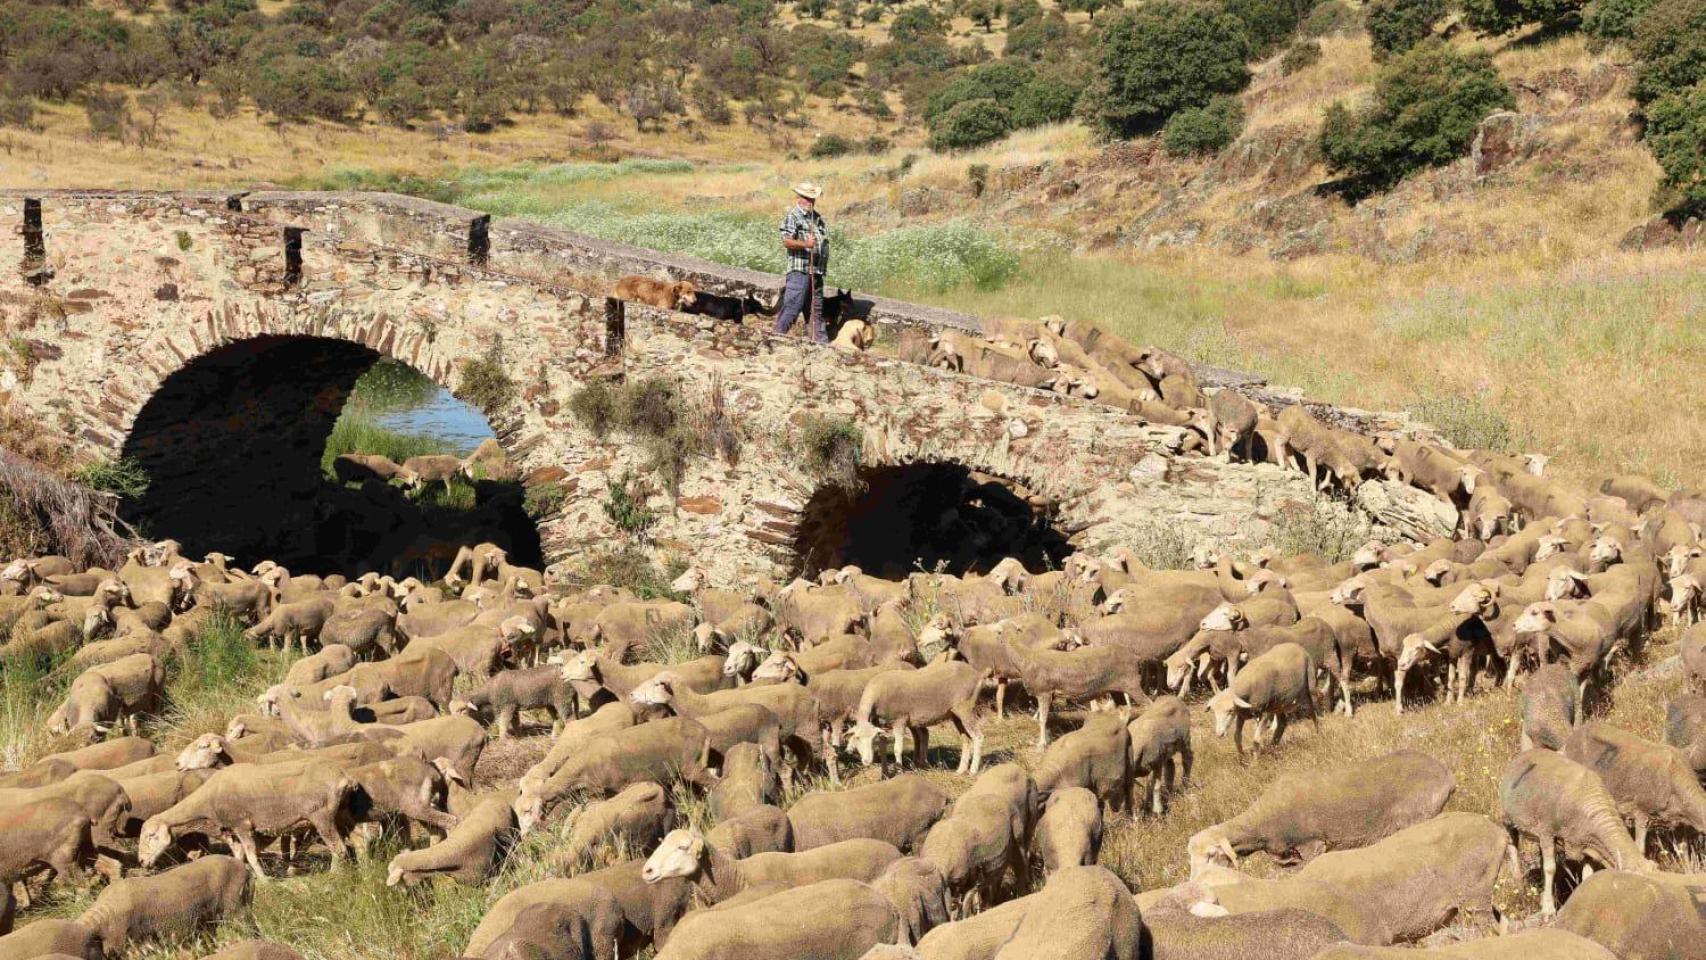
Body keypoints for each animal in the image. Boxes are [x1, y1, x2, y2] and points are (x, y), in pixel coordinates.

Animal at [139, 759, 357, 878]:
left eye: (151, 836)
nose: (141, 861)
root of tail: (343, 776)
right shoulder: (231, 832)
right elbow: (238, 855)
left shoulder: (242, 825)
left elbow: (251, 855)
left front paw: (265, 882)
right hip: (340, 815)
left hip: (322, 816)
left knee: (339, 849)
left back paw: (334, 876)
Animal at [847, 660, 984, 774]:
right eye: (857, 738)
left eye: (872, 739)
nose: (867, 761)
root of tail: (975, 673)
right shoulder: (879, 724)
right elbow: (882, 747)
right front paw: (884, 773)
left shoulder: (900, 719)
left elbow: (897, 749)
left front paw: (899, 771)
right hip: (955, 714)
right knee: (966, 740)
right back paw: (961, 770)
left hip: (966, 709)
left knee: (978, 737)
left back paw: (973, 770)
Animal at [1499, 749, 1653, 915]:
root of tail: (1528, 752)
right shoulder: (1547, 831)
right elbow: (1550, 868)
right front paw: (1548, 910)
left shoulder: (1586, 842)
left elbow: (1588, 874)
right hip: (1508, 819)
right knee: (1512, 846)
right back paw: (1519, 886)